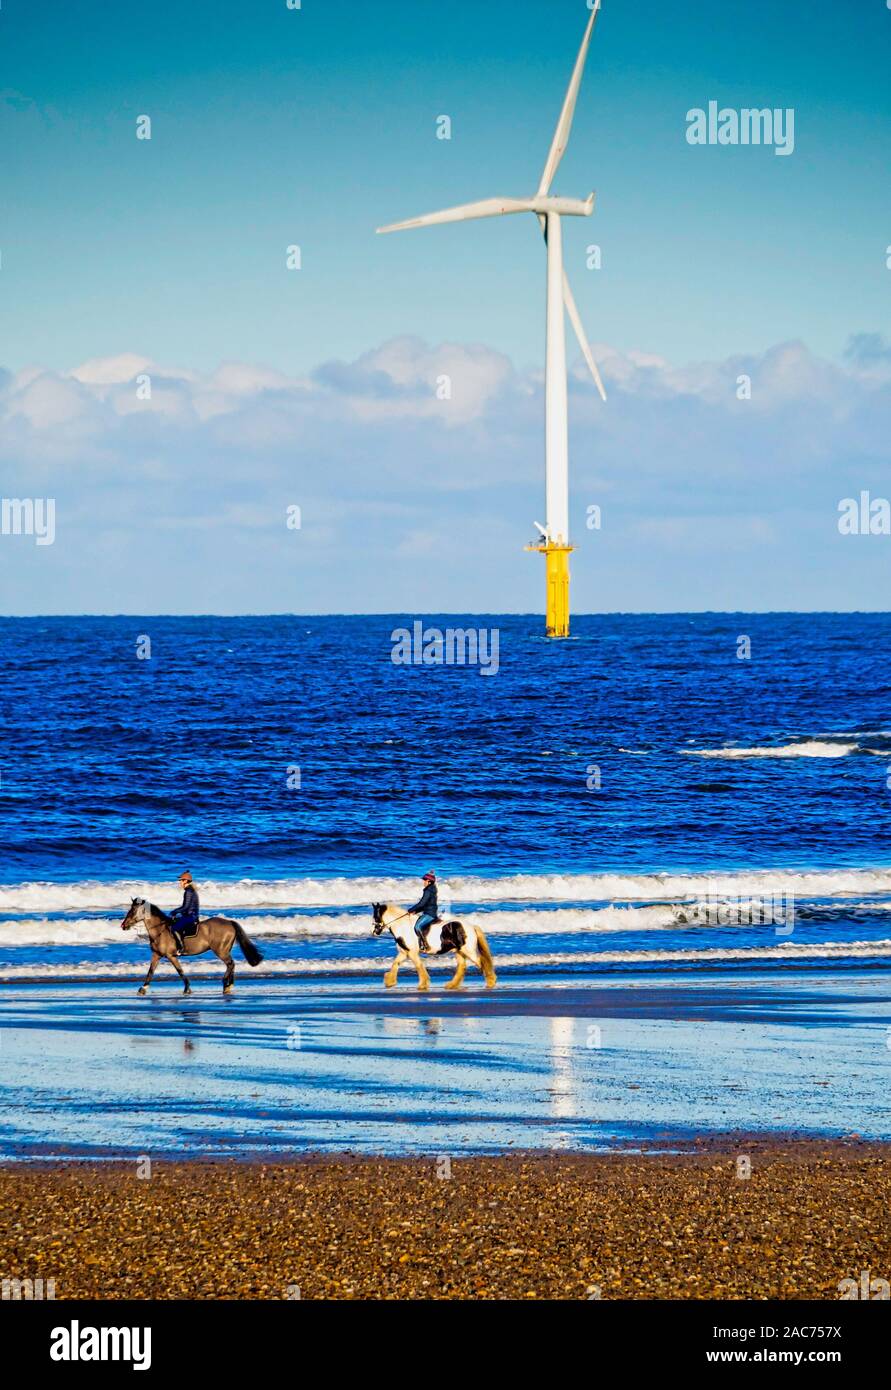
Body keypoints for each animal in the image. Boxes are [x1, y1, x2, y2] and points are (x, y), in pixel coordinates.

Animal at [120, 898, 264, 995]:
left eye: (132, 911)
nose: (123, 925)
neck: (160, 930)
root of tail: (229, 922)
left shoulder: (171, 956)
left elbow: (180, 971)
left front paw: (187, 988)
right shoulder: (156, 955)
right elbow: (150, 971)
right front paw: (143, 988)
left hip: (221, 951)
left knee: (230, 964)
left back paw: (226, 984)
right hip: (225, 950)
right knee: (231, 964)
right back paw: (228, 985)